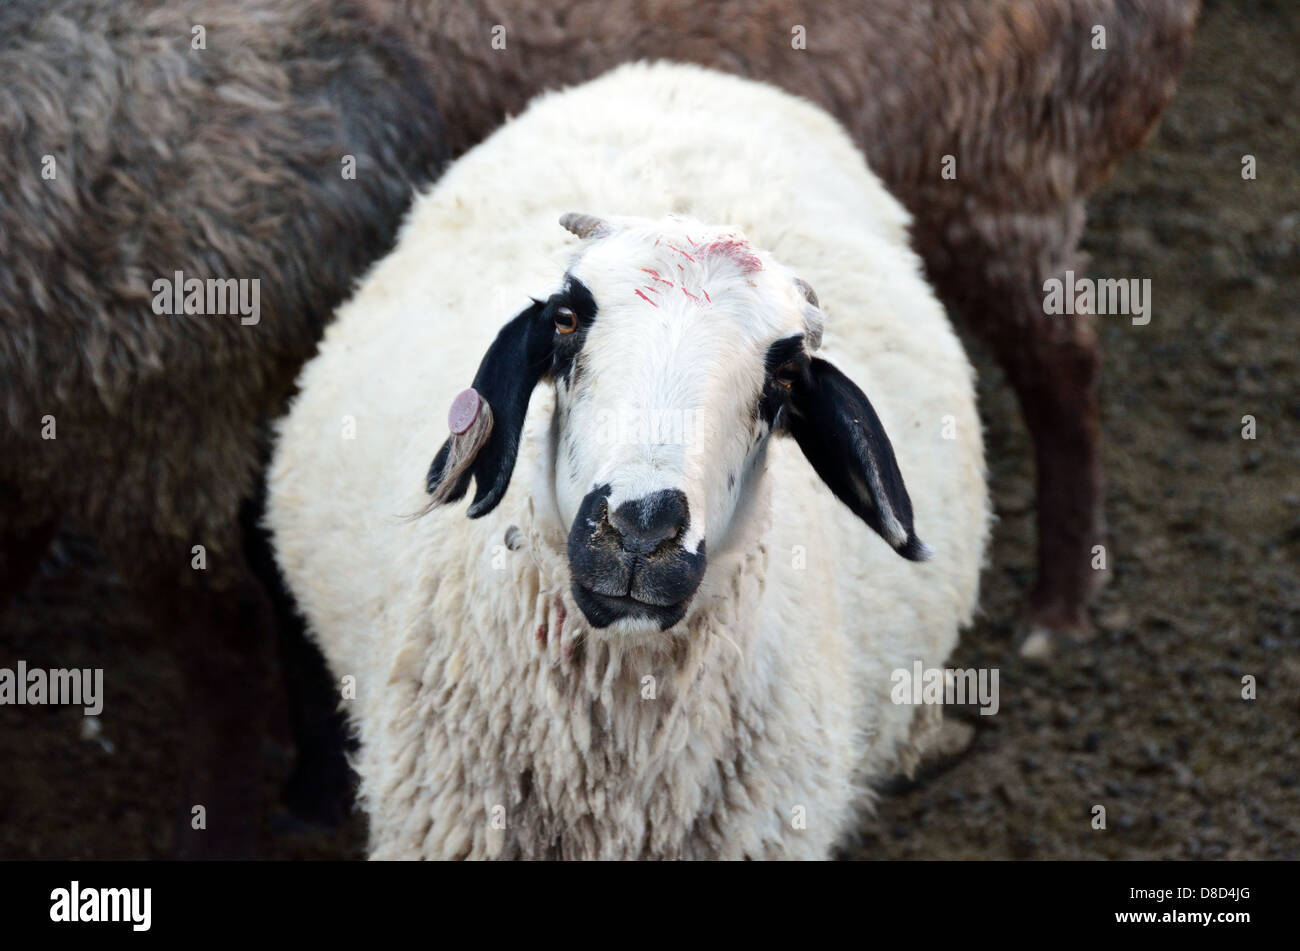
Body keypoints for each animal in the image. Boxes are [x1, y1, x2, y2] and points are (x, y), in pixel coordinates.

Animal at [373, 0, 1199, 650]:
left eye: (784, 377)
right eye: (567, 320)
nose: (640, 531)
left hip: (1007, 180)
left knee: (1065, 369)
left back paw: (1059, 603)